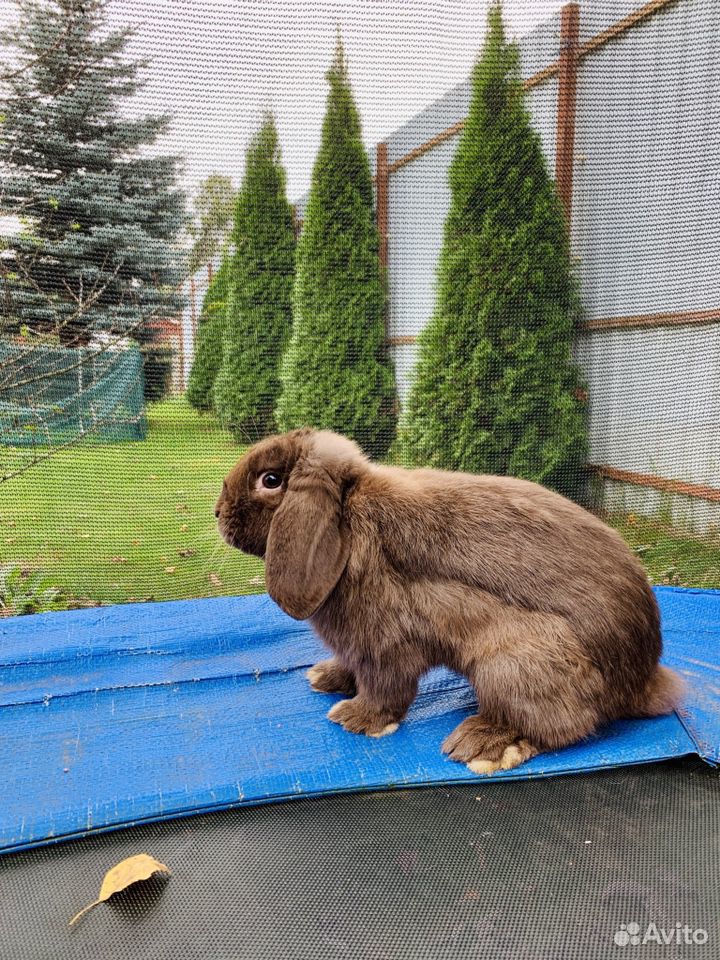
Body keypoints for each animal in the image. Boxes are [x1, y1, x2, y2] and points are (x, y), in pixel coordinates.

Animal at [215, 427, 683, 774]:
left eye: (270, 480)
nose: (217, 513)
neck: (348, 516)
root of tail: (639, 683)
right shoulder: (356, 647)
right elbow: (350, 668)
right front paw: (325, 678)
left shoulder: (384, 644)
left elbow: (385, 688)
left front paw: (356, 720)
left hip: (512, 664)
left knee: (566, 725)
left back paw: (480, 744)